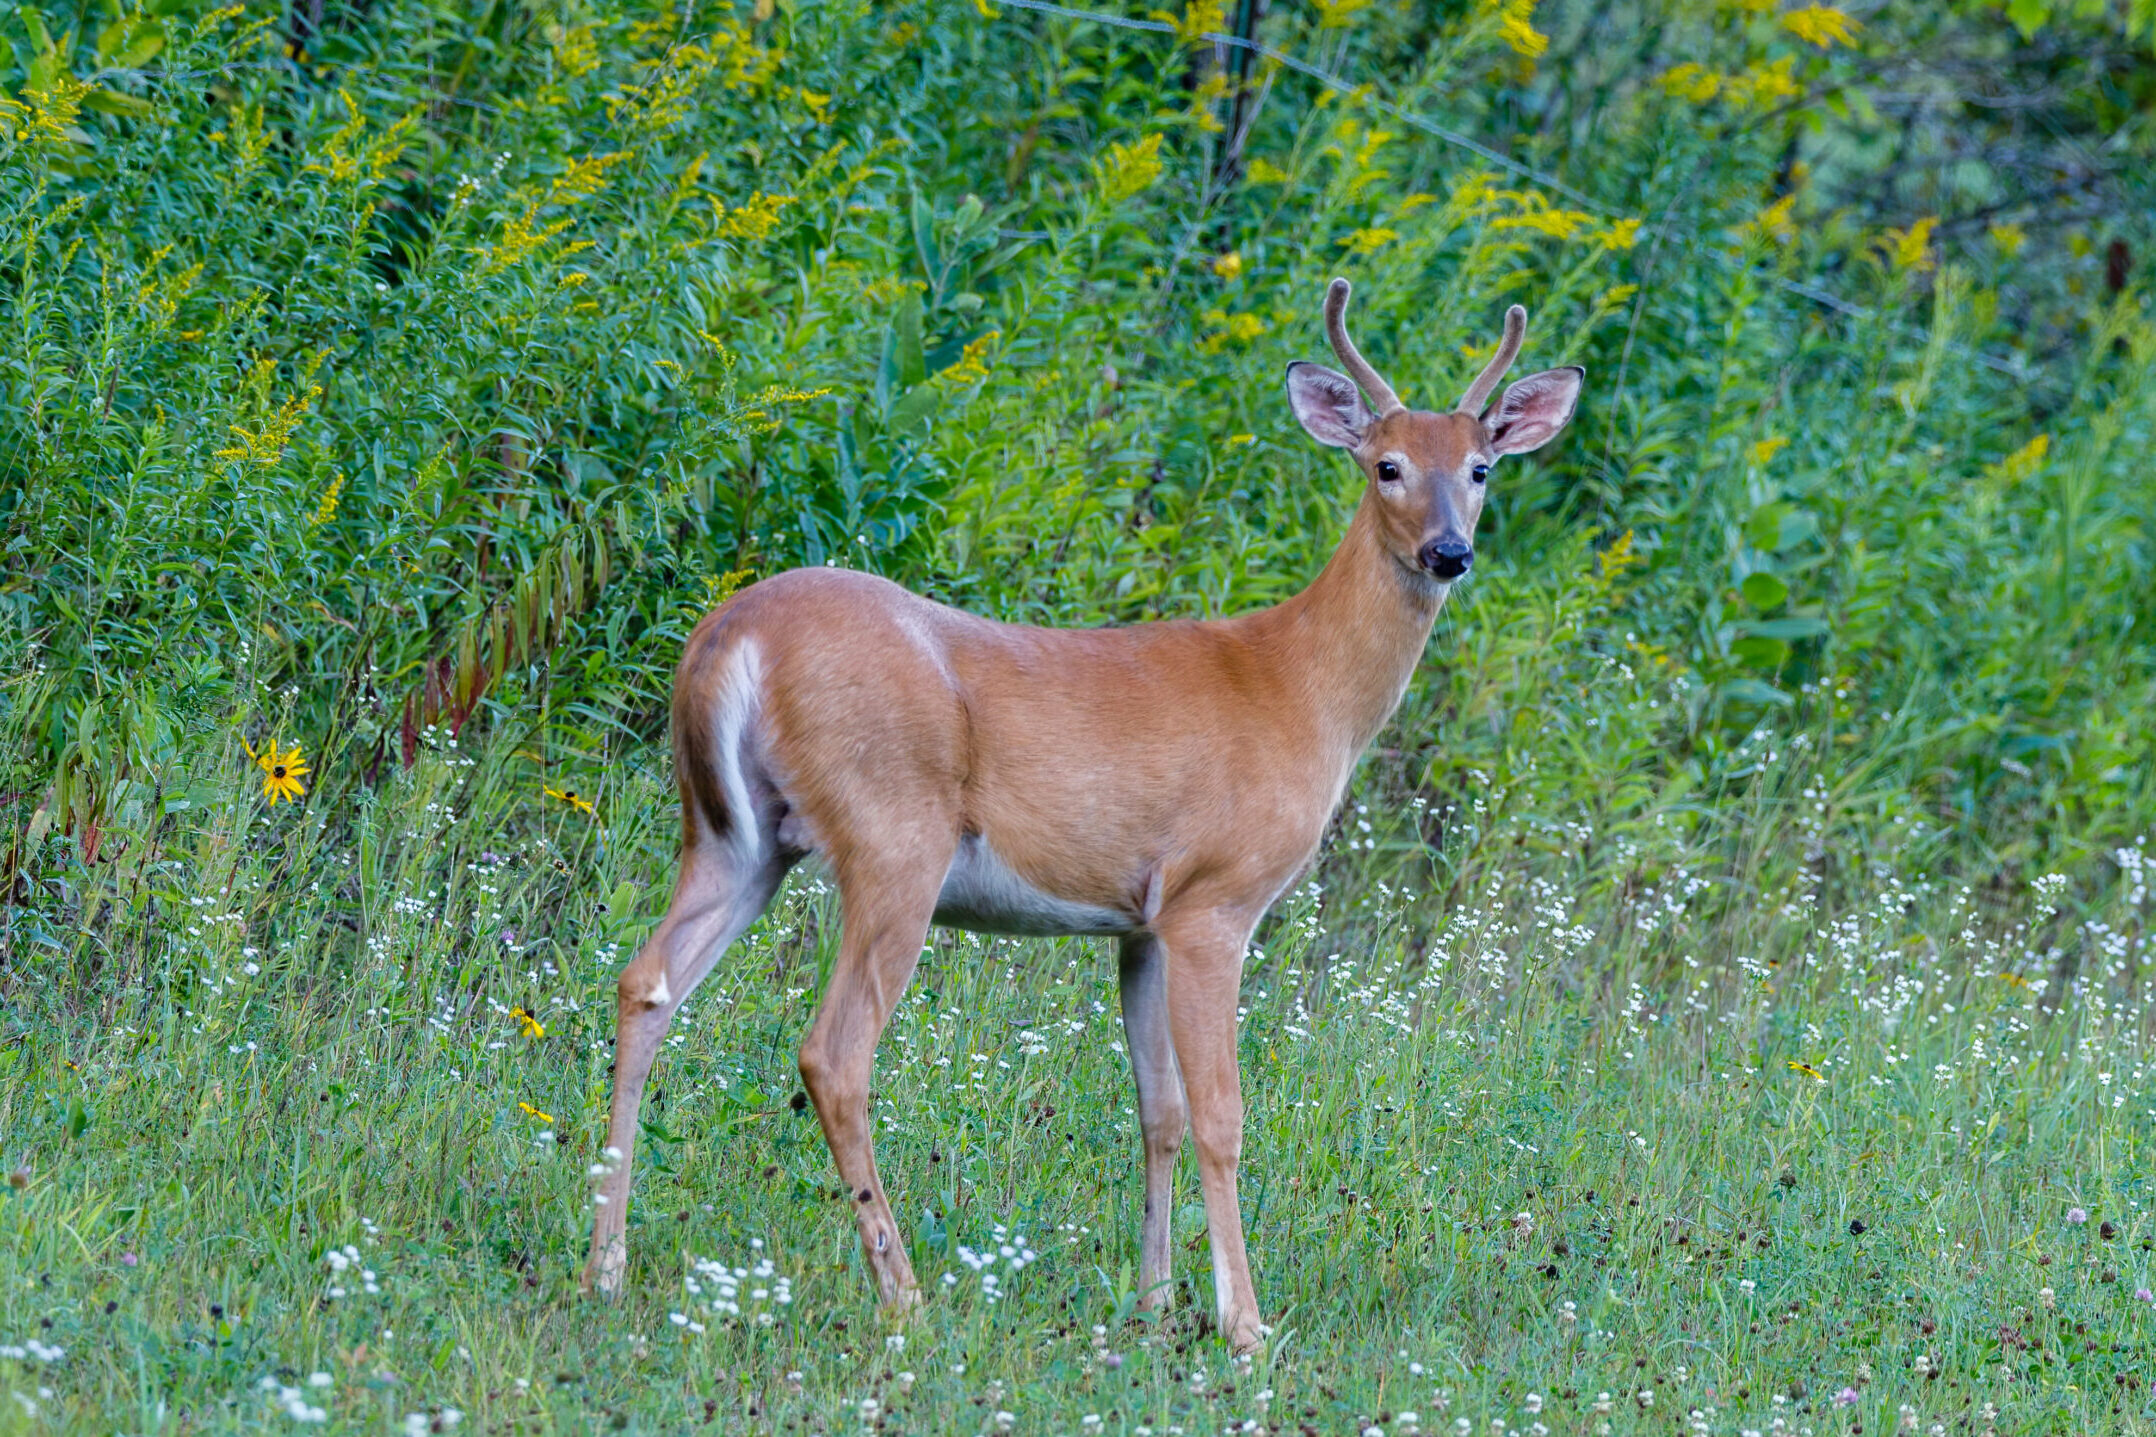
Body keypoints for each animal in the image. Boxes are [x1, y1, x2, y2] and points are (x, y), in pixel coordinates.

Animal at [582, 278, 1584, 1351]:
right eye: (1386, 464)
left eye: (1480, 467)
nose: (1449, 551)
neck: (1302, 687)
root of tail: (731, 637)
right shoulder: (1212, 900)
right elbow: (1222, 1115)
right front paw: (1244, 1324)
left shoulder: (1138, 922)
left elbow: (1159, 1111)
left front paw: (1152, 1301)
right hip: (894, 834)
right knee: (833, 1051)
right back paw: (906, 1294)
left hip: (735, 836)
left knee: (646, 983)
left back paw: (607, 1265)